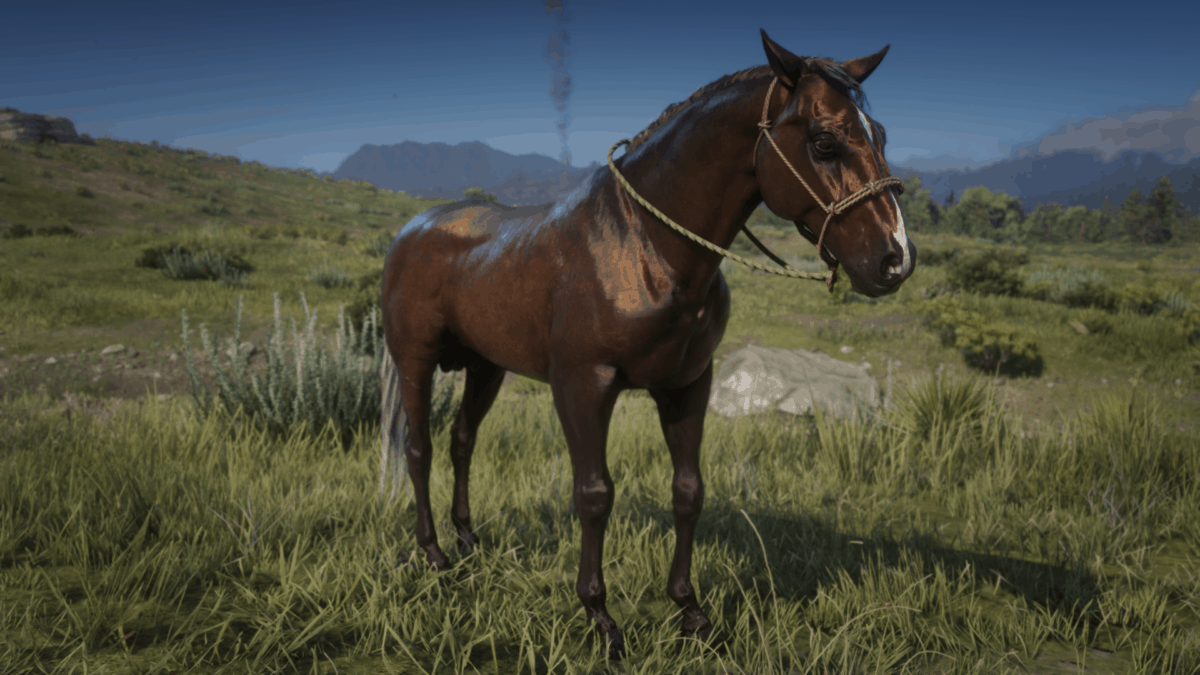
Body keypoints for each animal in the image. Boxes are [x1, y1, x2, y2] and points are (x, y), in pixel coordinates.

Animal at [380, 29, 915, 660]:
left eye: (879, 135)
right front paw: (601, 619)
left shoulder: (688, 385)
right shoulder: (583, 385)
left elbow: (688, 491)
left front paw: (690, 611)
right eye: (825, 141)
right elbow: (594, 494)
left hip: (487, 367)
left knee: (462, 441)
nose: (895, 259)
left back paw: (467, 543)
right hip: (414, 359)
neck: (646, 247)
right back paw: (434, 553)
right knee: (420, 448)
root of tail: (410, 231)